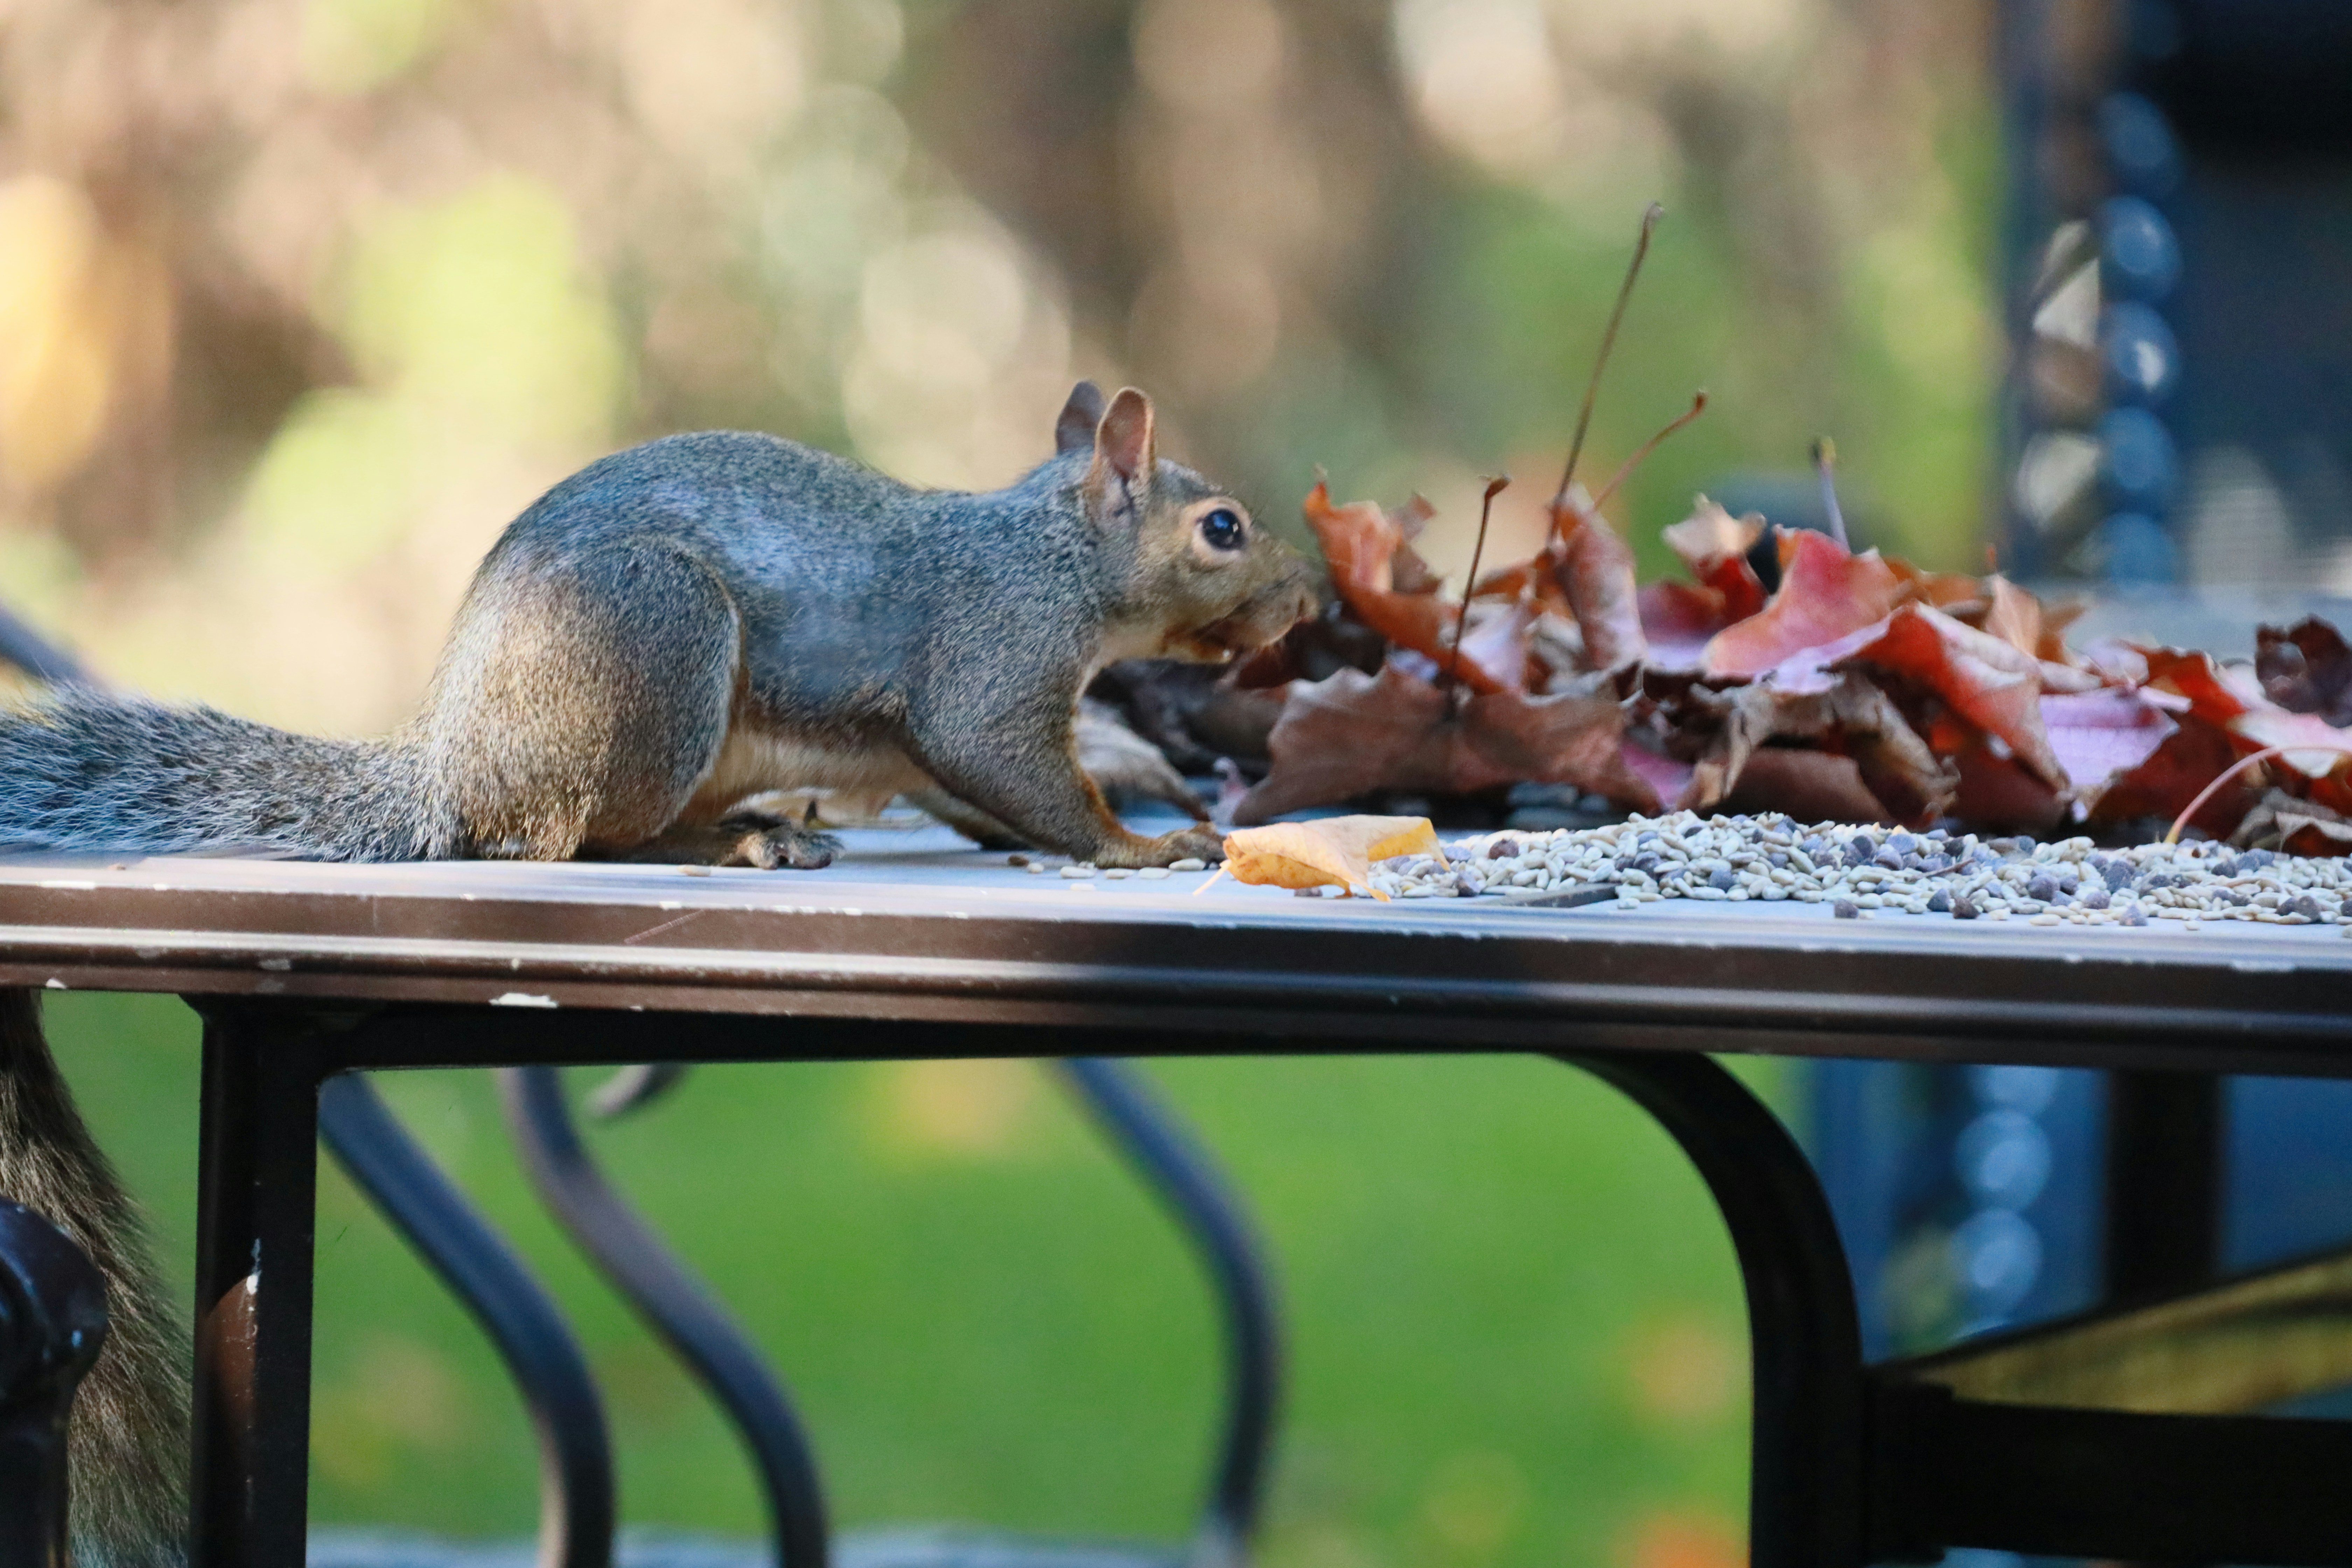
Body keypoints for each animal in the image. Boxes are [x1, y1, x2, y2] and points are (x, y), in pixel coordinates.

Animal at [0, 380, 1316, 1562]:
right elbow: (1015, 770)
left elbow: (975, 793)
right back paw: (738, 840)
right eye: (1222, 528)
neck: (1051, 551)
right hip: (658, 649)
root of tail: (452, 769)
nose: (1305, 599)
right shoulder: (991, 663)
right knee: (575, 840)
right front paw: (1139, 843)